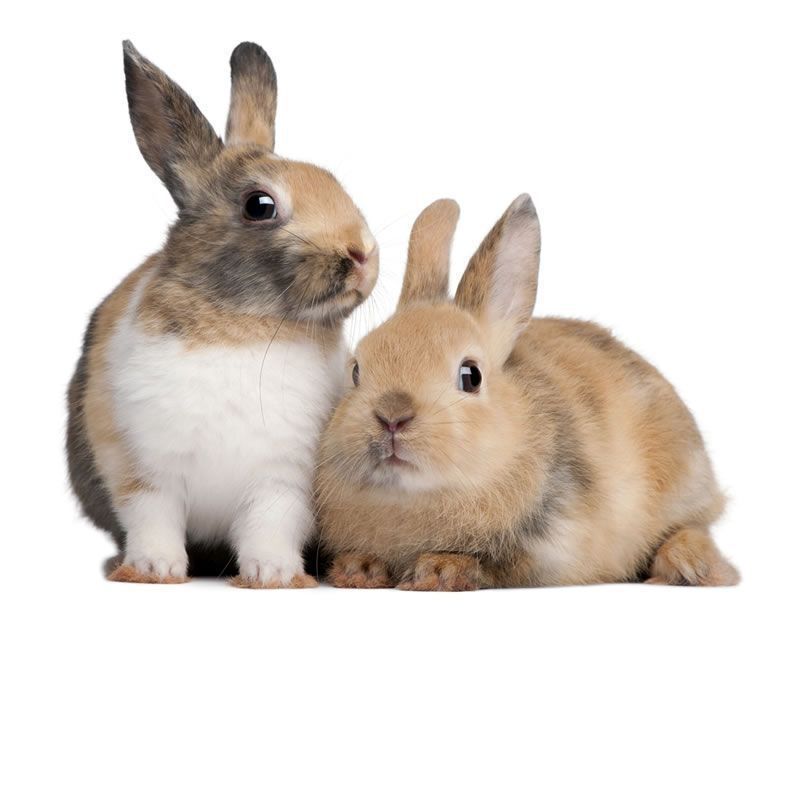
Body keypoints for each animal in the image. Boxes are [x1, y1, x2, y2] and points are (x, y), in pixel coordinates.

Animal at [66, 41, 378, 587]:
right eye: (260, 205)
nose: (363, 253)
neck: (249, 328)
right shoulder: (142, 469)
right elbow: (152, 518)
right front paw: (155, 569)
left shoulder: (284, 479)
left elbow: (270, 526)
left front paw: (273, 575)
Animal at [314, 195, 739, 589]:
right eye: (356, 371)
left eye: (471, 376)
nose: (392, 416)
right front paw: (358, 570)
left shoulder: (548, 547)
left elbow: (492, 564)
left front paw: (440, 571)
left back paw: (690, 566)